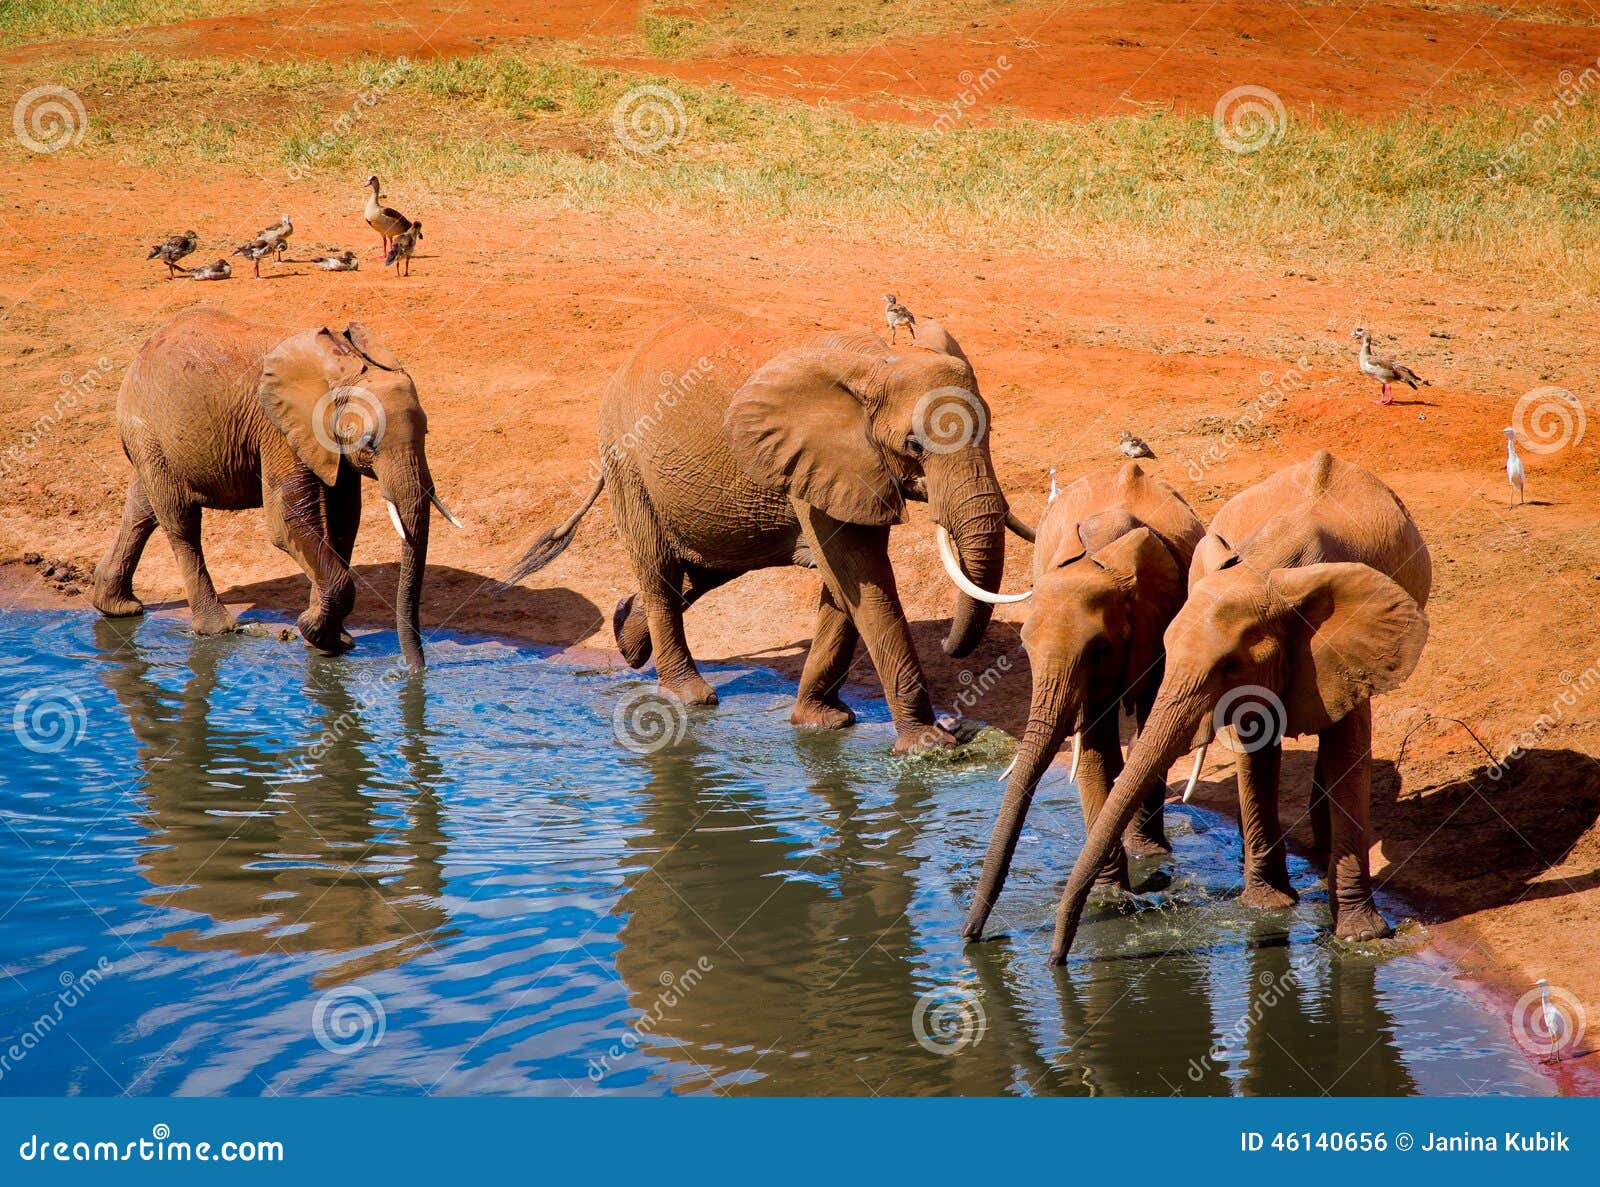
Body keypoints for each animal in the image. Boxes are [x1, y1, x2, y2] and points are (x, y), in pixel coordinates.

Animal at [91, 307, 460, 670]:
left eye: (426, 433)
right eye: (370, 443)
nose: (414, 671)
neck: (341, 364)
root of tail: (142, 351)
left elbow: (343, 521)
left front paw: (327, 639)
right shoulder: (279, 429)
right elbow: (287, 522)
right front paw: (314, 632)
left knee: (143, 508)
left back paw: (117, 607)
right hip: (147, 427)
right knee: (181, 522)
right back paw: (217, 631)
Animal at [507, 307, 1035, 753]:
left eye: (990, 430)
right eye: (914, 445)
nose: (948, 644)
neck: (875, 364)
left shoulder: (845, 468)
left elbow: (845, 587)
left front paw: (821, 723)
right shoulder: (824, 455)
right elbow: (864, 580)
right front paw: (930, 749)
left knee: (705, 565)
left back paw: (624, 633)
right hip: (627, 458)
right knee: (659, 568)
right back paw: (688, 697)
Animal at [957, 461, 1205, 942]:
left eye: (1099, 650)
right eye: (1024, 645)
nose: (971, 935)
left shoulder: (1162, 618)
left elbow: (1149, 723)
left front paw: (1143, 864)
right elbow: (1094, 746)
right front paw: (1110, 894)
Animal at [1048, 451, 1431, 963]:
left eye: (1229, 666)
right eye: (1166, 646)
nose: (1056, 960)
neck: (1270, 574)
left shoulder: (1351, 646)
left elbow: (1349, 749)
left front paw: (1361, 938)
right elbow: (1257, 742)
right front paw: (1268, 909)